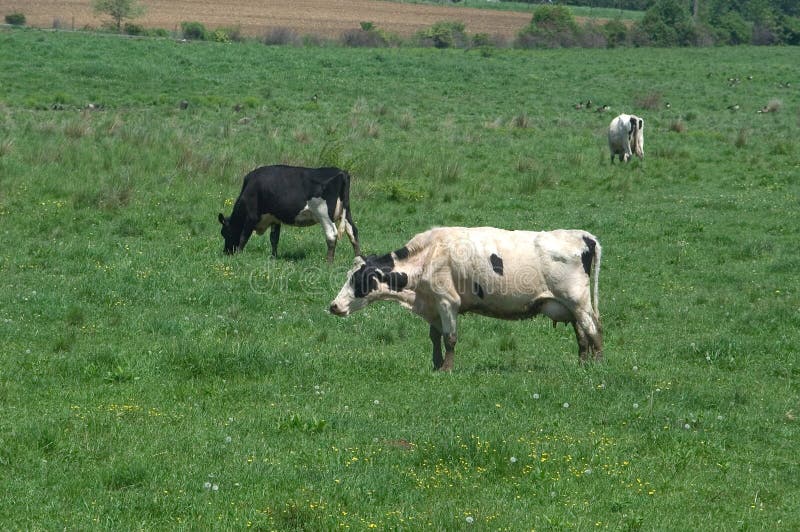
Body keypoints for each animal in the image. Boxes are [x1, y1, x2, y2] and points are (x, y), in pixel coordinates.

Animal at [218, 165, 360, 262]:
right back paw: (358, 260)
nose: (226, 252)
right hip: (346, 212)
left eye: (224, 233)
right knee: (352, 231)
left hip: (323, 213)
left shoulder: (251, 217)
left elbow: (243, 237)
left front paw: (238, 255)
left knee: (331, 235)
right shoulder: (274, 218)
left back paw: (328, 263)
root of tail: (341, 172)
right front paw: (273, 257)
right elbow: (274, 239)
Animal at [329, 227, 602, 371]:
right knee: (582, 336)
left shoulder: (447, 301)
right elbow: (435, 337)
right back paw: (583, 364)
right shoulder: (433, 304)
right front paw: (436, 364)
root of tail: (584, 236)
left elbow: (450, 338)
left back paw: (597, 365)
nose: (334, 306)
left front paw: (447, 369)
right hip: (570, 307)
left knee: (594, 331)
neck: (429, 255)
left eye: (359, 280)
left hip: (579, 302)